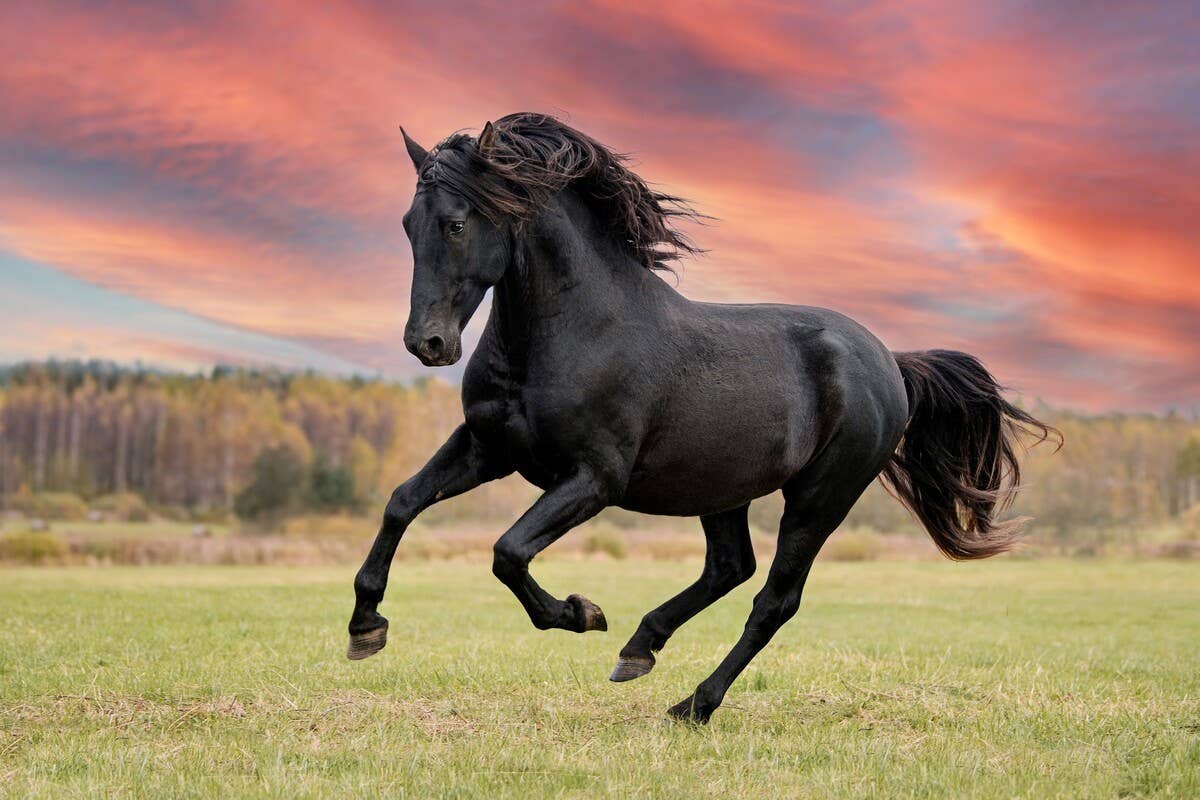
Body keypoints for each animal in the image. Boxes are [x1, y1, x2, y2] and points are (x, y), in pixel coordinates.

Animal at [346, 112, 1059, 724]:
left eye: (457, 223)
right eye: (408, 224)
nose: (427, 343)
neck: (570, 332)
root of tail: (889, 361)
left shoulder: (594, 479)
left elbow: (507, 551)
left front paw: (582, 613)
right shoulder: (489, 448)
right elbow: (402, 502)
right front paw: (365, 629)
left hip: (820, 497)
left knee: (773, 600)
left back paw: (692, 704)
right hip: (723, 487)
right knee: (729, 567)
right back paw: (640, 649)